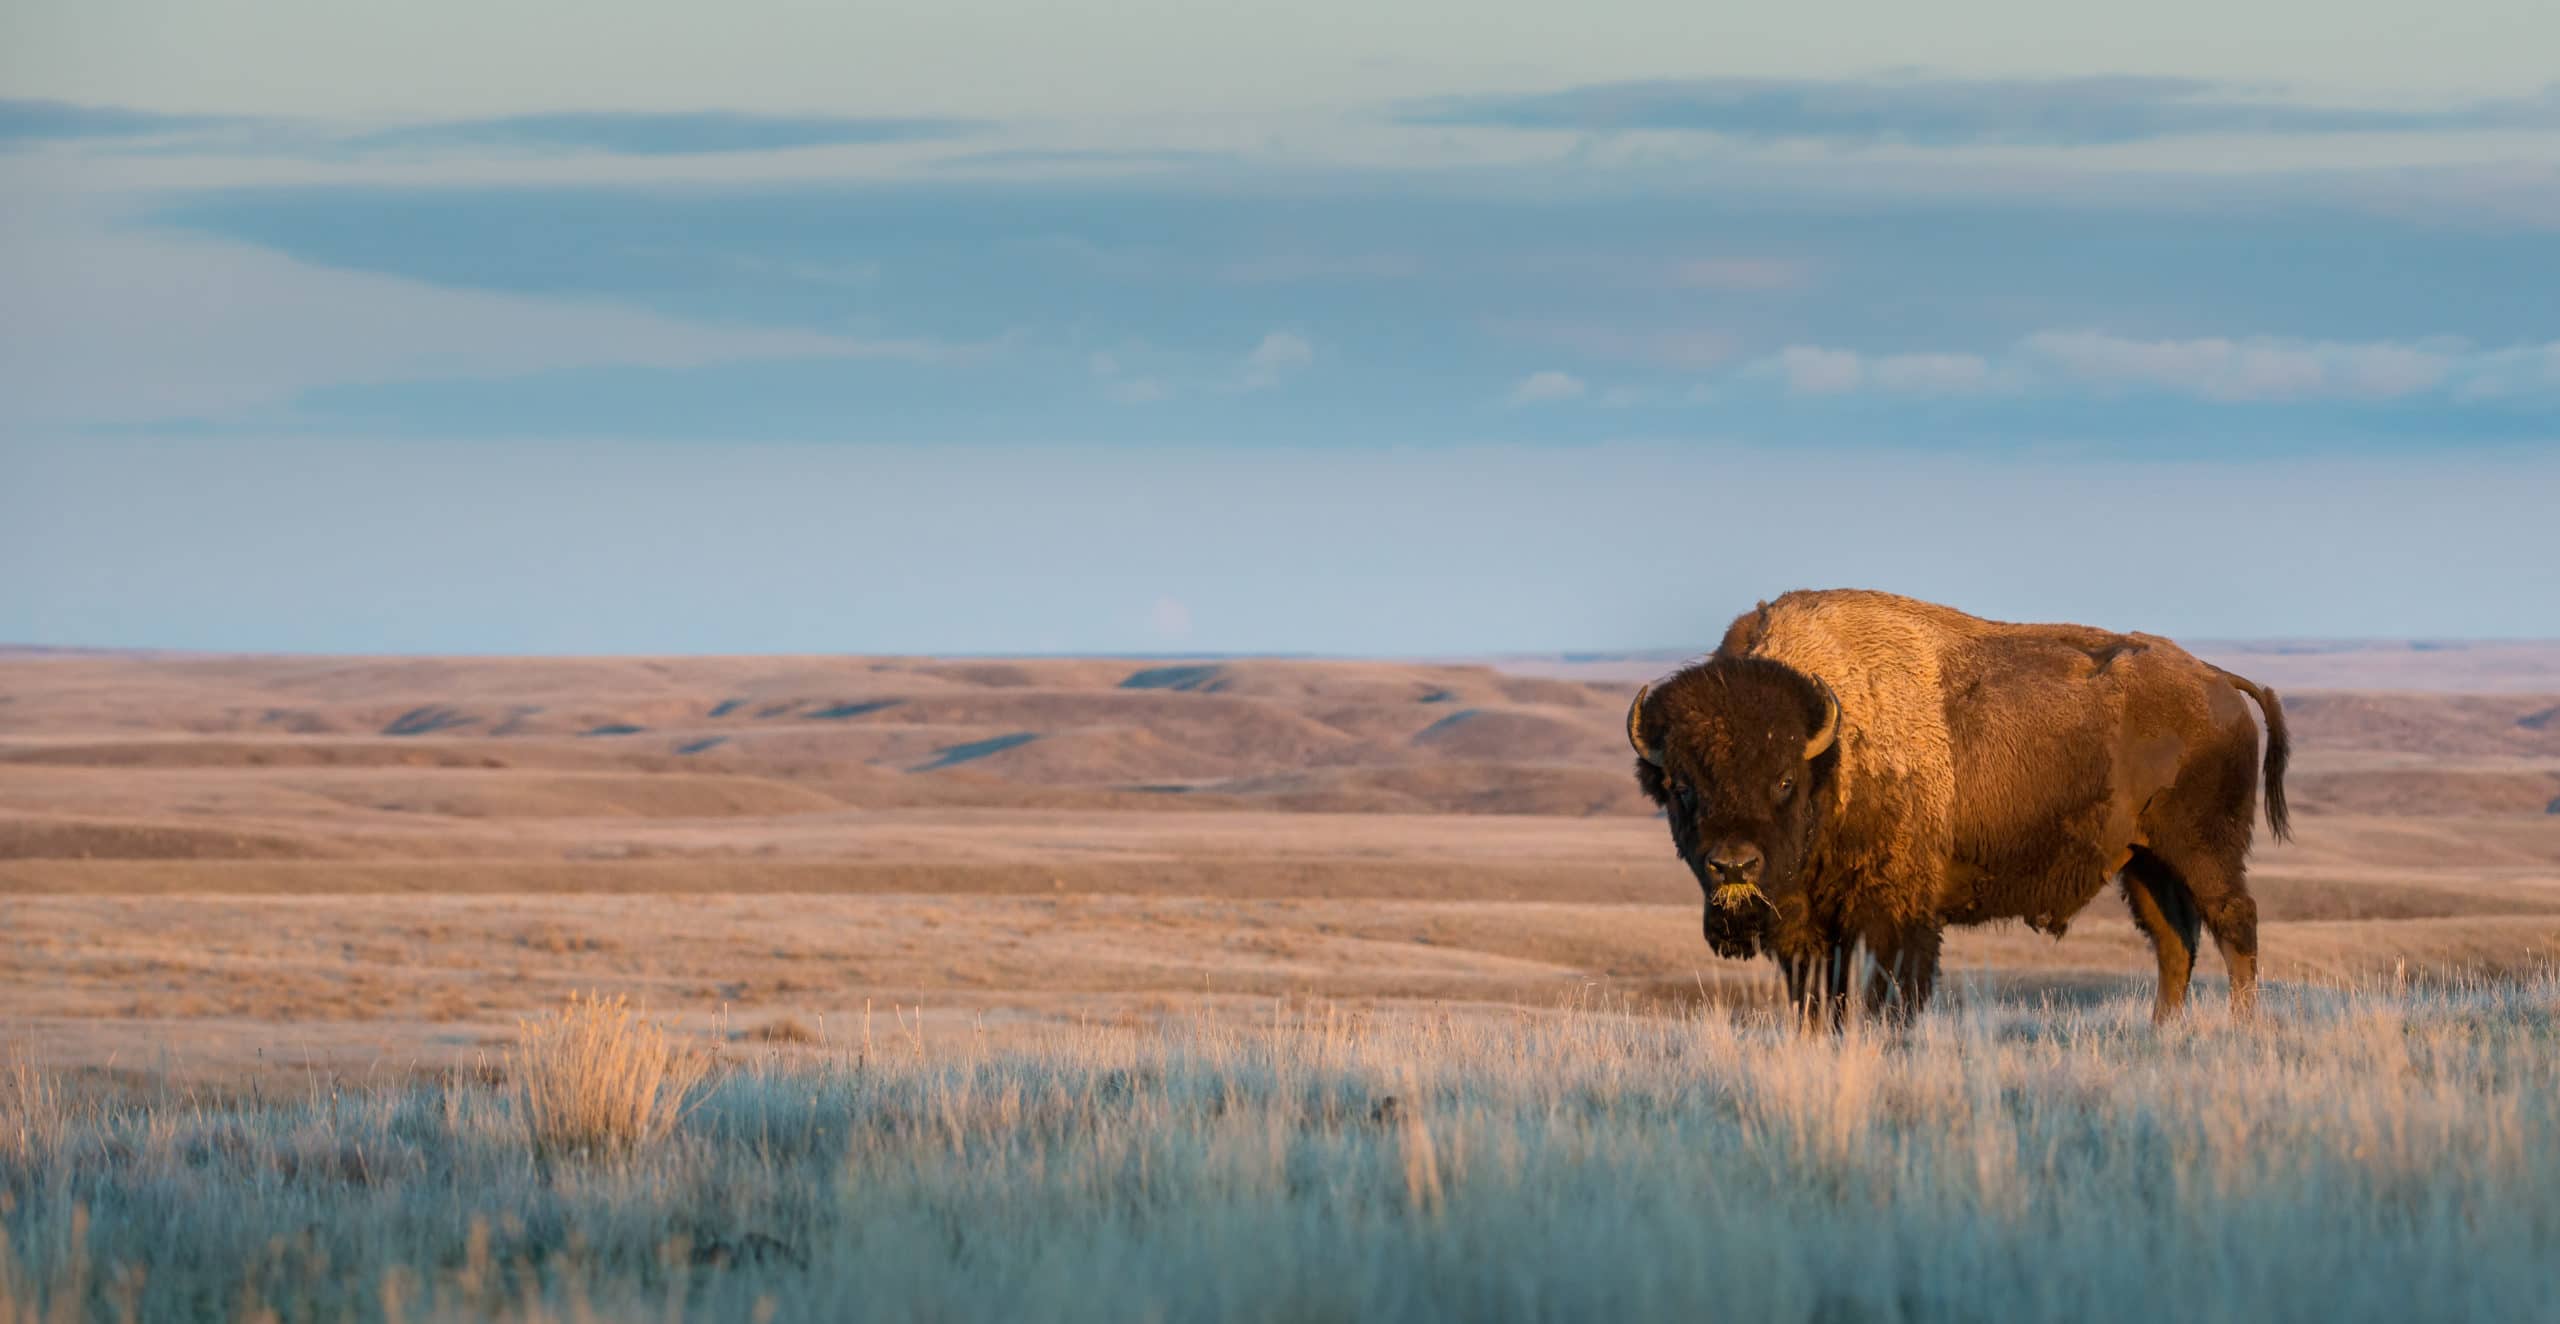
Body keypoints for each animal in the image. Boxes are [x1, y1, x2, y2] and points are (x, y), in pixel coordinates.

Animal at [1628, 589, 2290, 1026]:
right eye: (1681, 786)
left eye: (1784, 780)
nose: (1733, 866)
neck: (1834, 750)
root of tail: (2217, 680)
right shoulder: (1807, 926)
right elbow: (1818, 998)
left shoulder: (1892, 915)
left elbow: (1886, 992)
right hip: (2144, 861)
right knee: (2174, 942)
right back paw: (2162, 1033)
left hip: (2203, 849)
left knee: (2235, 923)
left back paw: (2241, 1029)